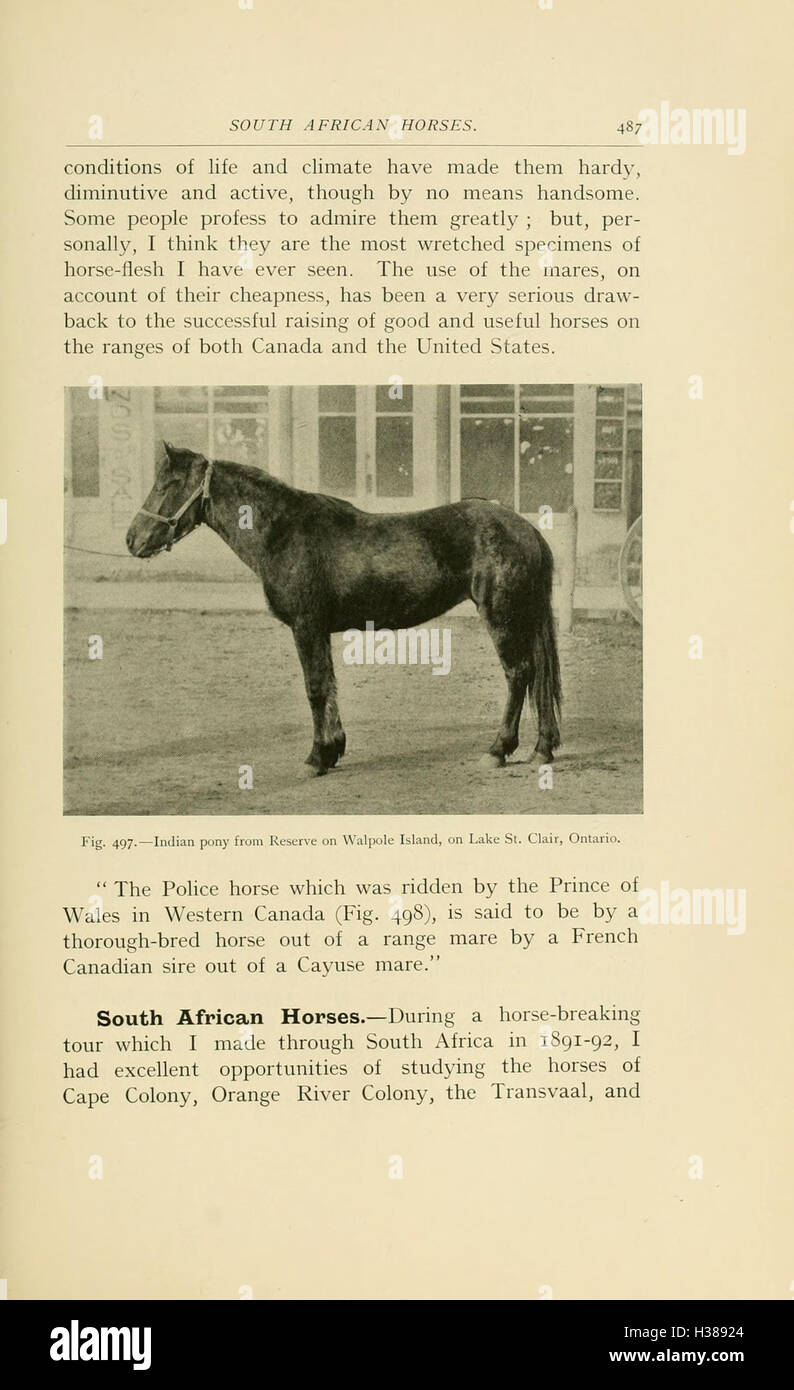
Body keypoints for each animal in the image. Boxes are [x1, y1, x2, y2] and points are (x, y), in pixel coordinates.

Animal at [126, 442, 562, 777]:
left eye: (167, 484)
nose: (132, 539)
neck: (283, 532)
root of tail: (525, 528)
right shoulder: (319, 629)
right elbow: (329, 685)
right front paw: (333, 749)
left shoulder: (306, 626)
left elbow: (316, 689)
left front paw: (316, 758)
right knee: (537, 675)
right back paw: (542, 748)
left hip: (502, 616)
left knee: (518, 674)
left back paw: (497, 750)